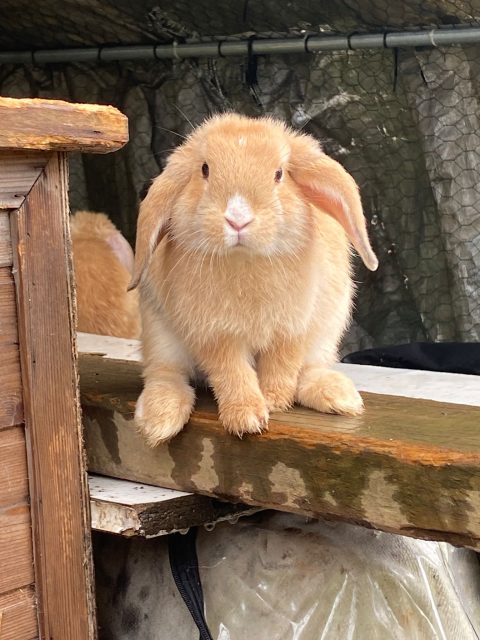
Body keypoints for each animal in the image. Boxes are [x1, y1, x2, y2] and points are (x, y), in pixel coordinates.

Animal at [128, 113, 378, 446]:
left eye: (279, 174)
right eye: (205, 169)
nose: (237, 219)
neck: (245, 259)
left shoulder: (293, 327)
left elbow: (282, 364)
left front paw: (274, 401)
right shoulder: (214, 334)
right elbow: (232, 372)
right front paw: (247, 417)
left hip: (326, 333)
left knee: (309, 370)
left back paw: (339, 397)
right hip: (160, 336)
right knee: (165, 373)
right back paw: (159, 418)